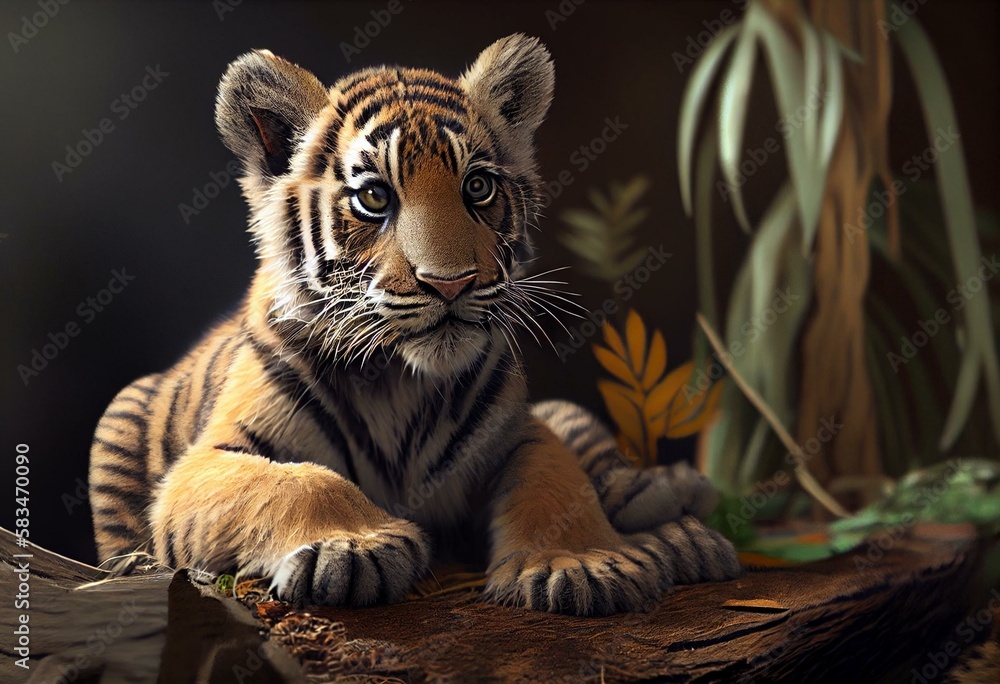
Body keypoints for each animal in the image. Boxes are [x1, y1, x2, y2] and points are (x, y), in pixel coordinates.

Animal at [88, 34, 739, 616]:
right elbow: (295, 481)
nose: (450, 283)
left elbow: (556, 476)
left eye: (478, 186)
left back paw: (673, 510)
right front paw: (353, 549)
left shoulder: (516, 431)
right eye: (375, 197)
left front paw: (579, 564)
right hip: (119, 412)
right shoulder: (208, 458)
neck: (397, 381)